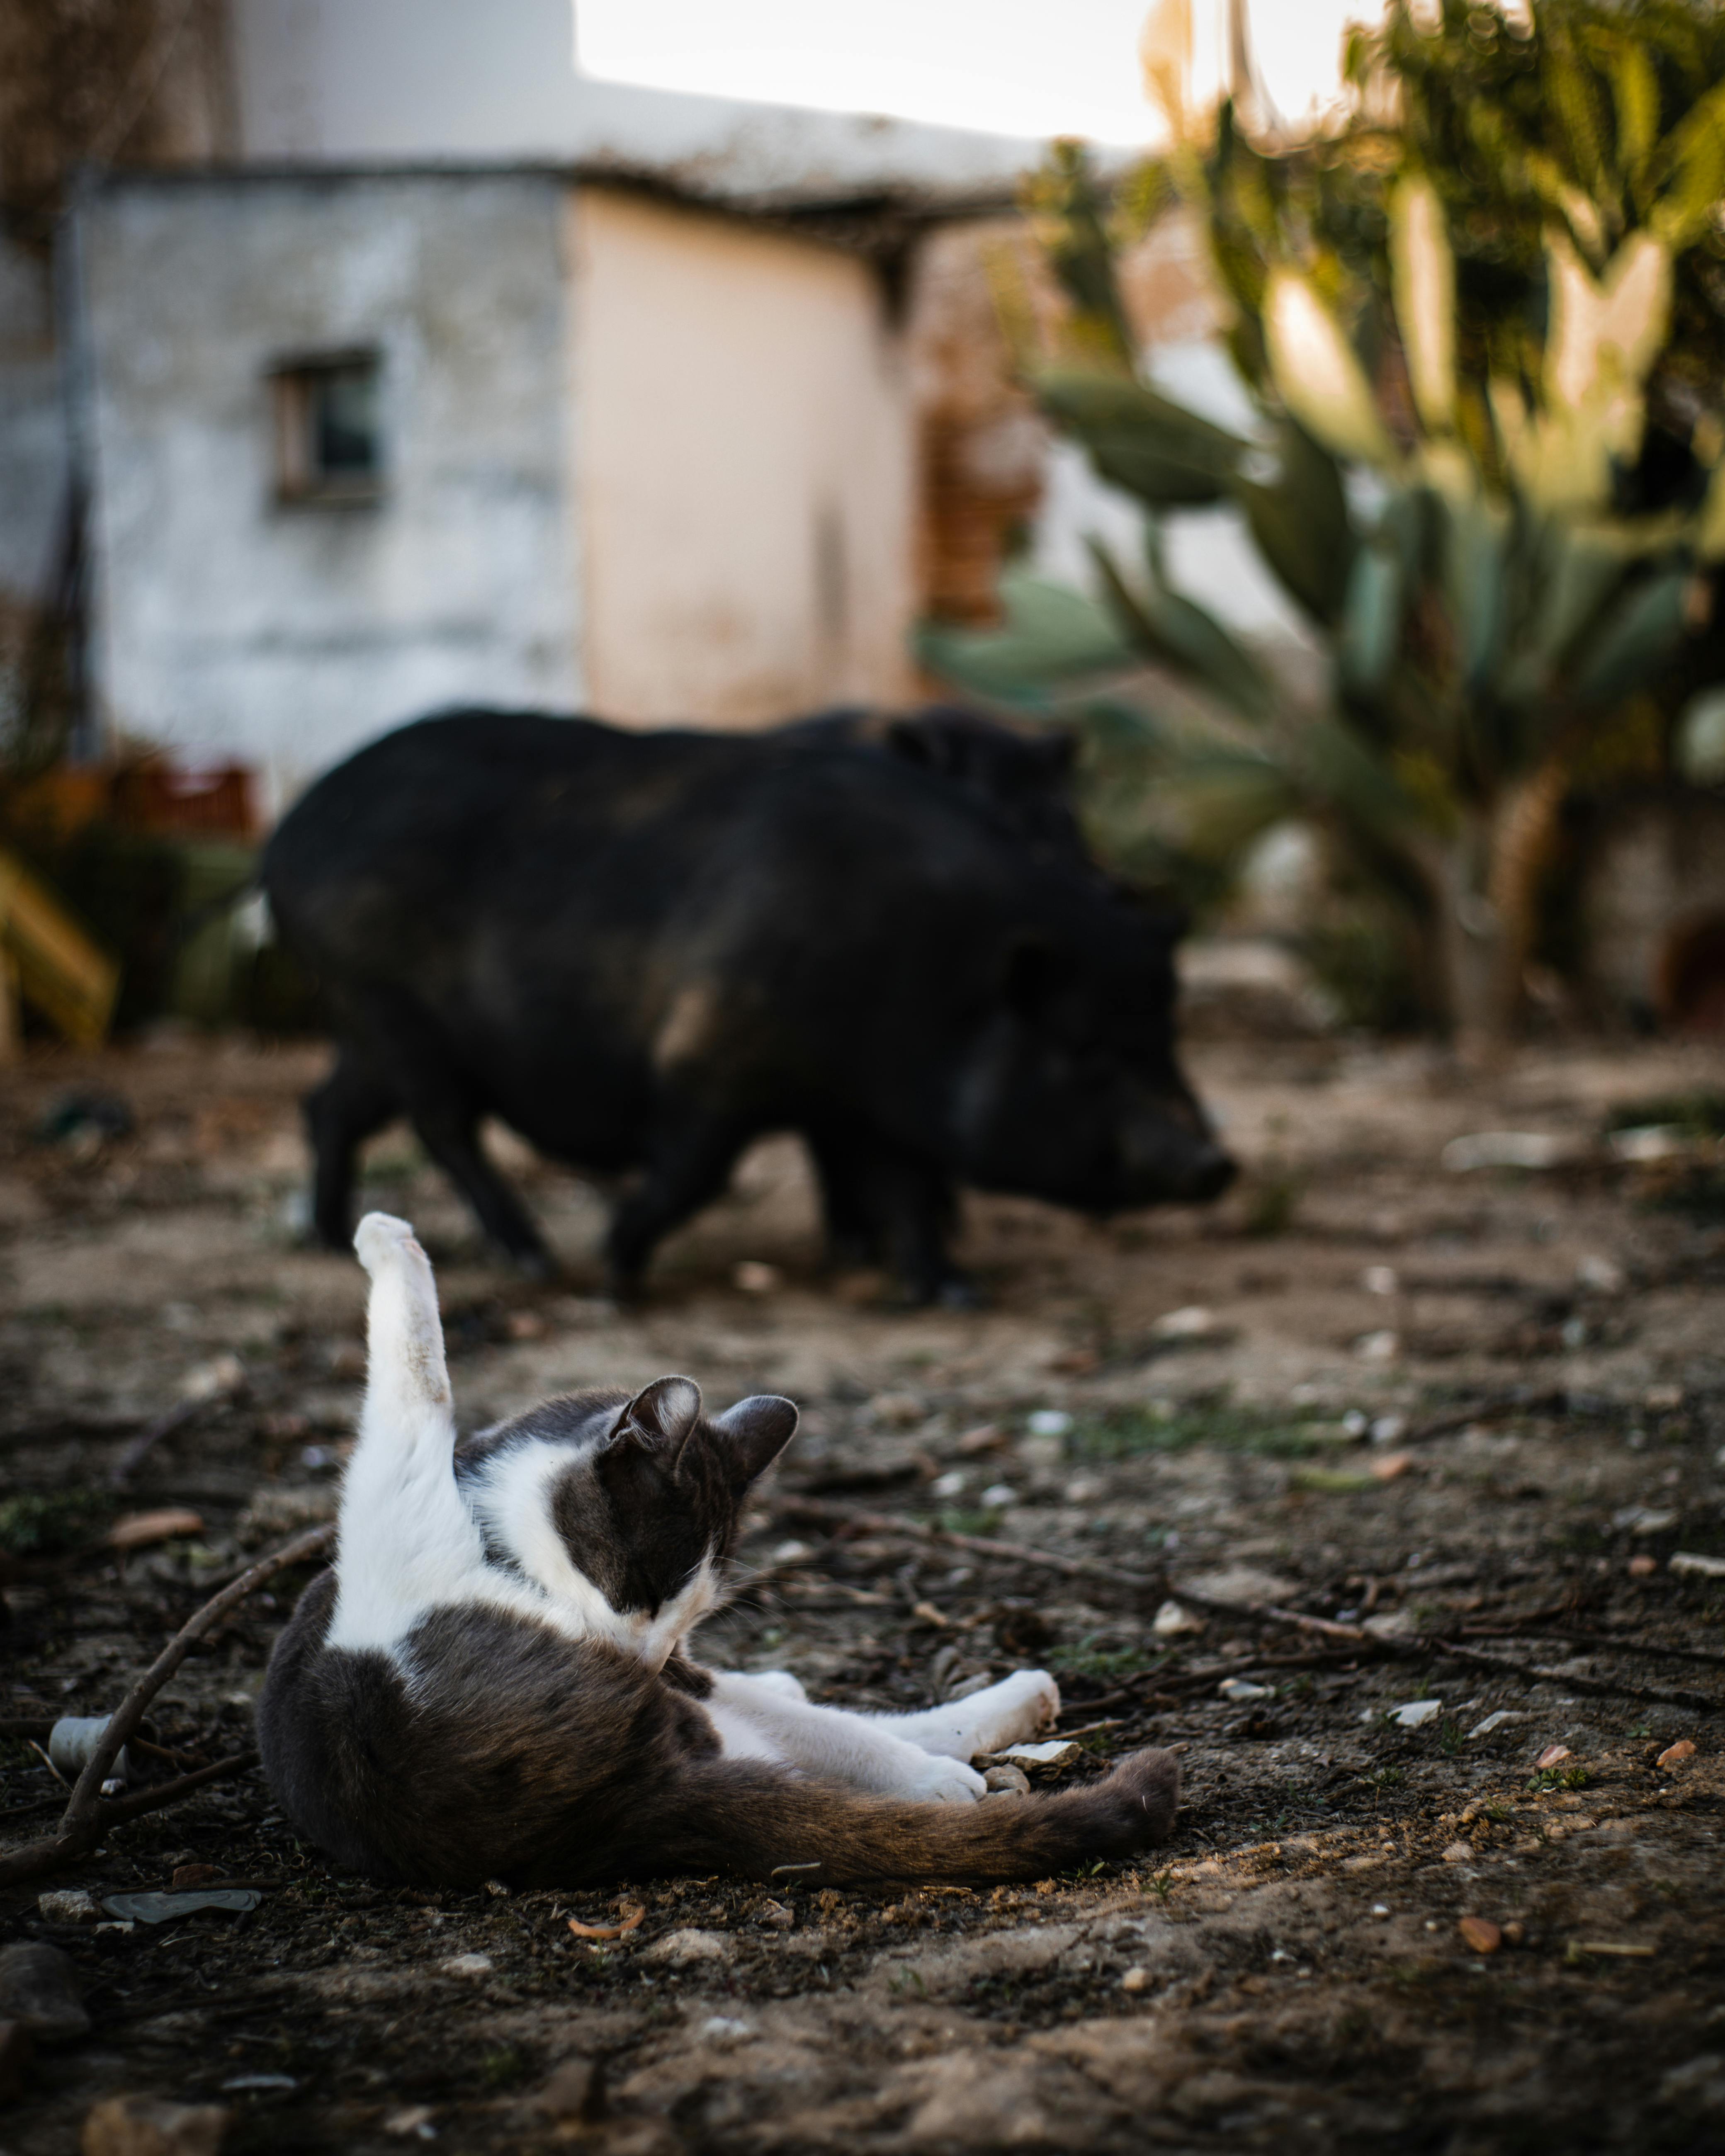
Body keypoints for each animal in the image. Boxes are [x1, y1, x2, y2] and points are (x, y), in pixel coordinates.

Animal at [262, 710, 1233, 1304]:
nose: (1217, 1162)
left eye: (1167, 1034)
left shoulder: (865, 1104)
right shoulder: (711, 1056)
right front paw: (615, 1270)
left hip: (368, 1026)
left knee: (329, 1105)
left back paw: (326, 1238)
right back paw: (534, 1258)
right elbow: (695, 1172)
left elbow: (904, 1186)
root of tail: (286, 837)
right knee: (445, 1125)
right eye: (1088, 1051)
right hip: (388, 1004)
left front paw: (952, 1290)